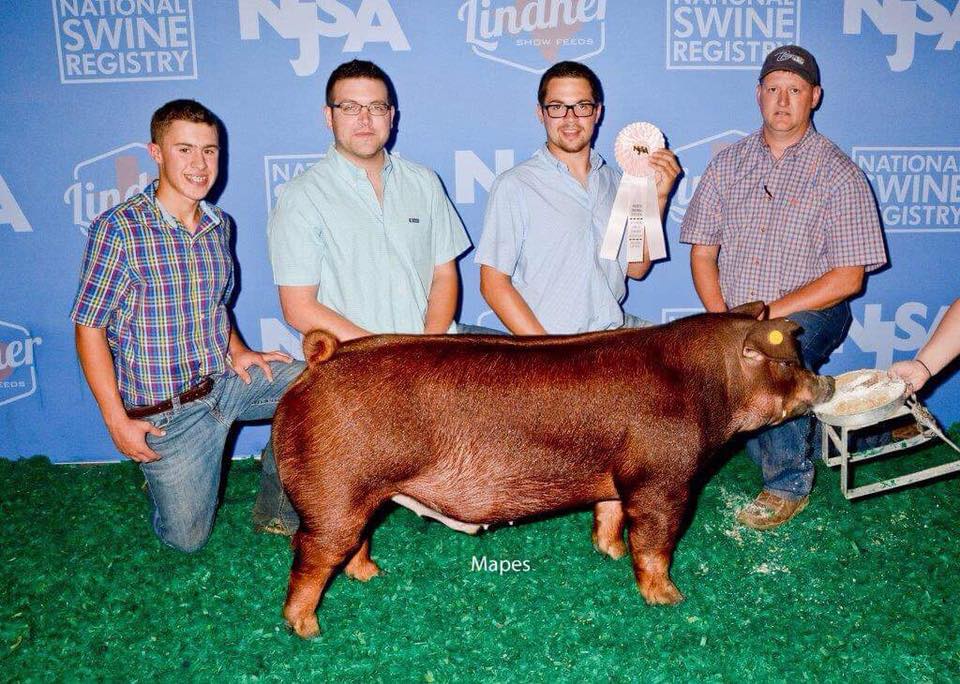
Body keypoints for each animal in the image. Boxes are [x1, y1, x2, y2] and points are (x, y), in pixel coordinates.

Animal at [272, 302, 834, 638]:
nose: (827, 384)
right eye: (787, 363)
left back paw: (372, 576)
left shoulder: (615, 477)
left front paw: (608, 554)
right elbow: (654, 541)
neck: (710, 386)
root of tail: (319, 362)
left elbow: (609, 514)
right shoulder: (664, 479)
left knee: (354, 542)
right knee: (309, 553)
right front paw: (670, 599)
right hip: (334, 491)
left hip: (363, 493)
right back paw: (309, 628)